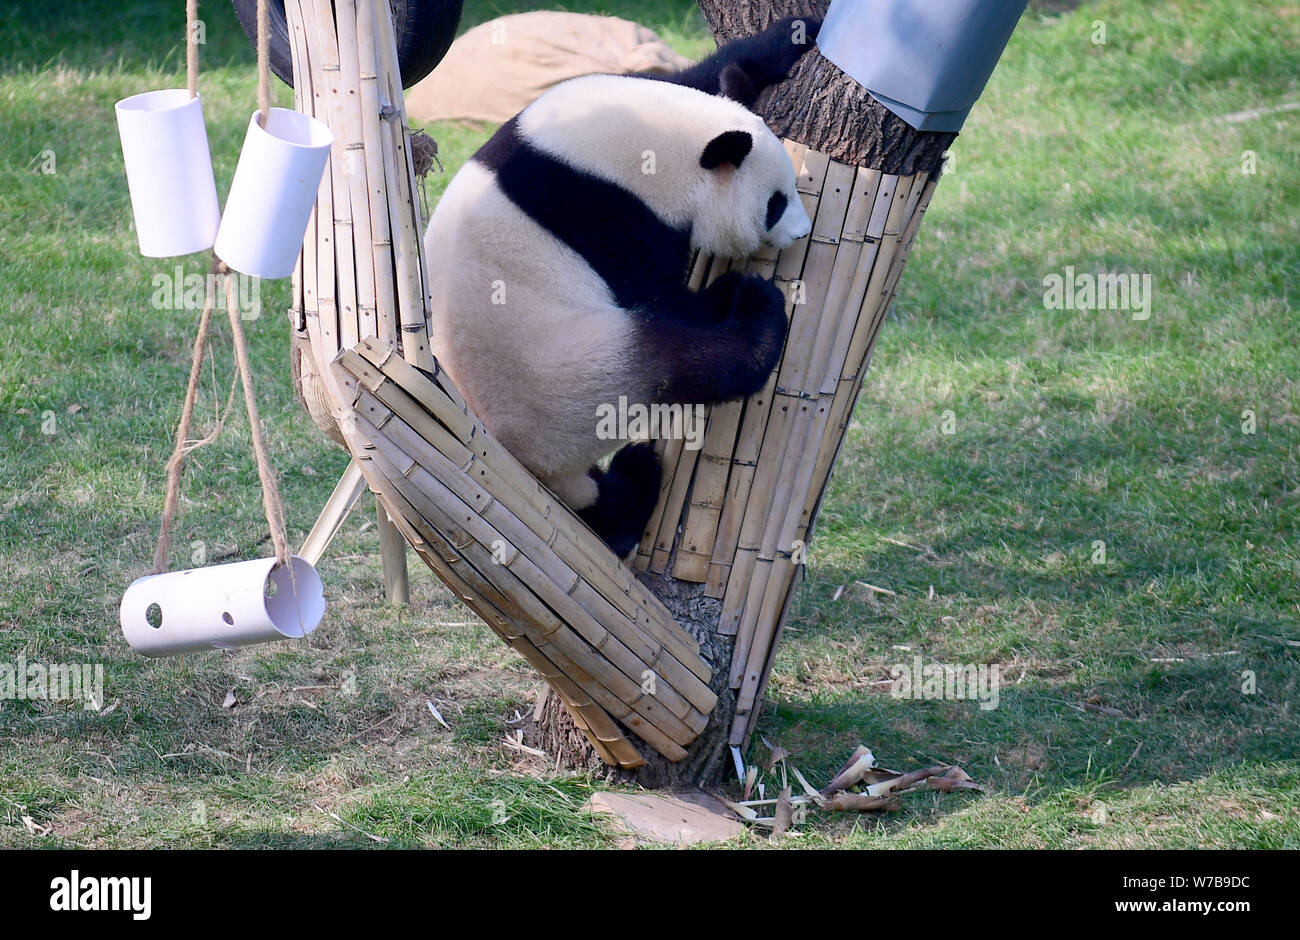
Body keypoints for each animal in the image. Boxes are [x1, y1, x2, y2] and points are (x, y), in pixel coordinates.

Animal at [423, 17, 820, 558]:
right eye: (775, 203)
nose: (802, 233)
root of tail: (535, 466)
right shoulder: (608, 218)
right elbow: (659, 296)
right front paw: (730, 293)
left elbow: (717, 71)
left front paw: (797, 34)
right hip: (580, 377)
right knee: (694, 363)